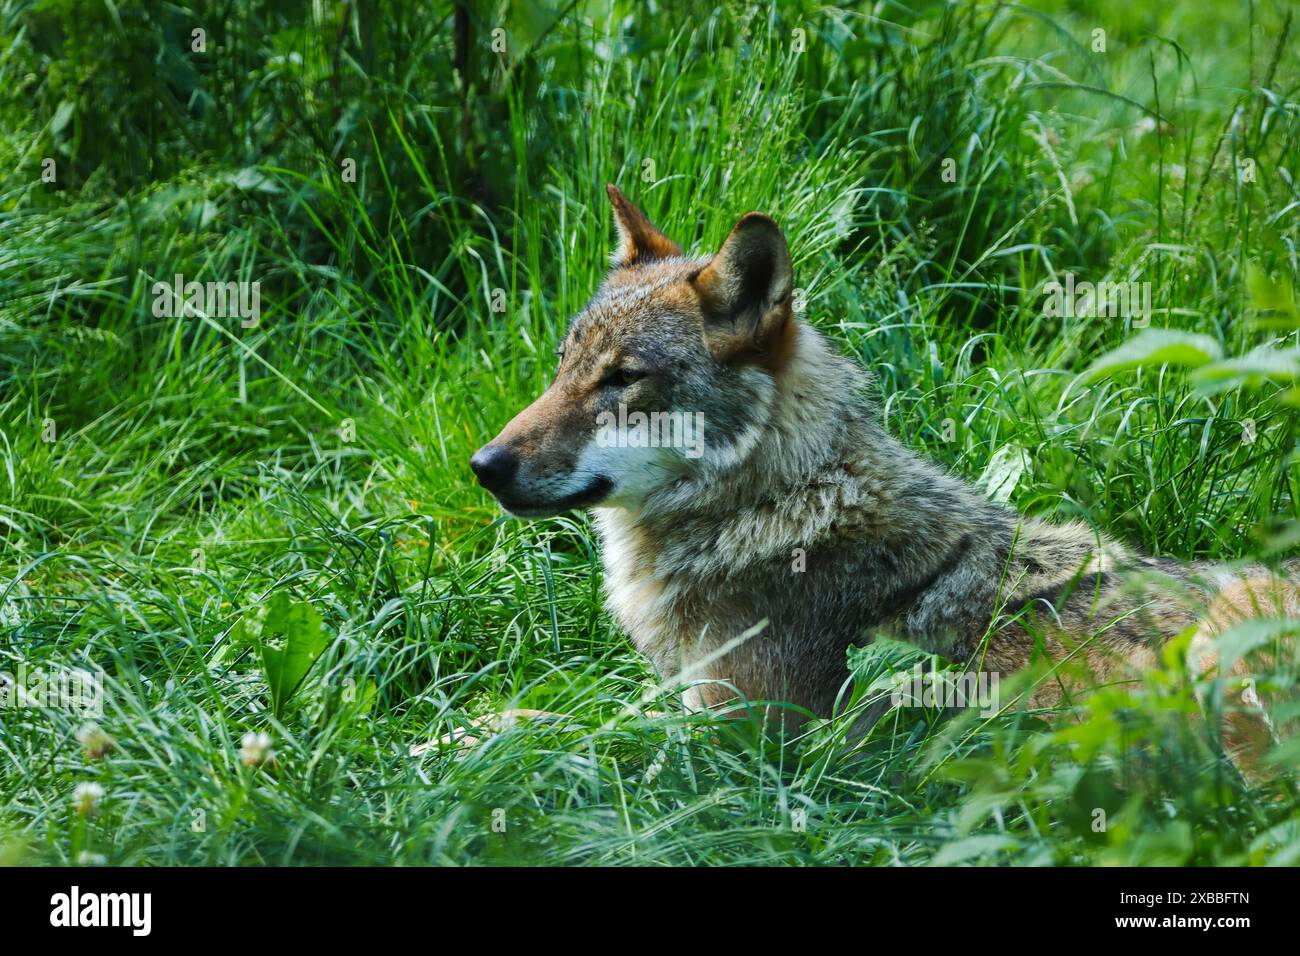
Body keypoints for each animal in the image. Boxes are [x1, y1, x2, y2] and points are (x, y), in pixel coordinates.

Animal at [469, 185, 1298, 774]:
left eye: (622, 379)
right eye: (564, 368)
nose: (484, 466)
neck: (767, 510)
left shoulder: (742, 739)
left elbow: (578, 730)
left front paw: (458, 746)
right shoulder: (683, 693)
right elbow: (568, 709)